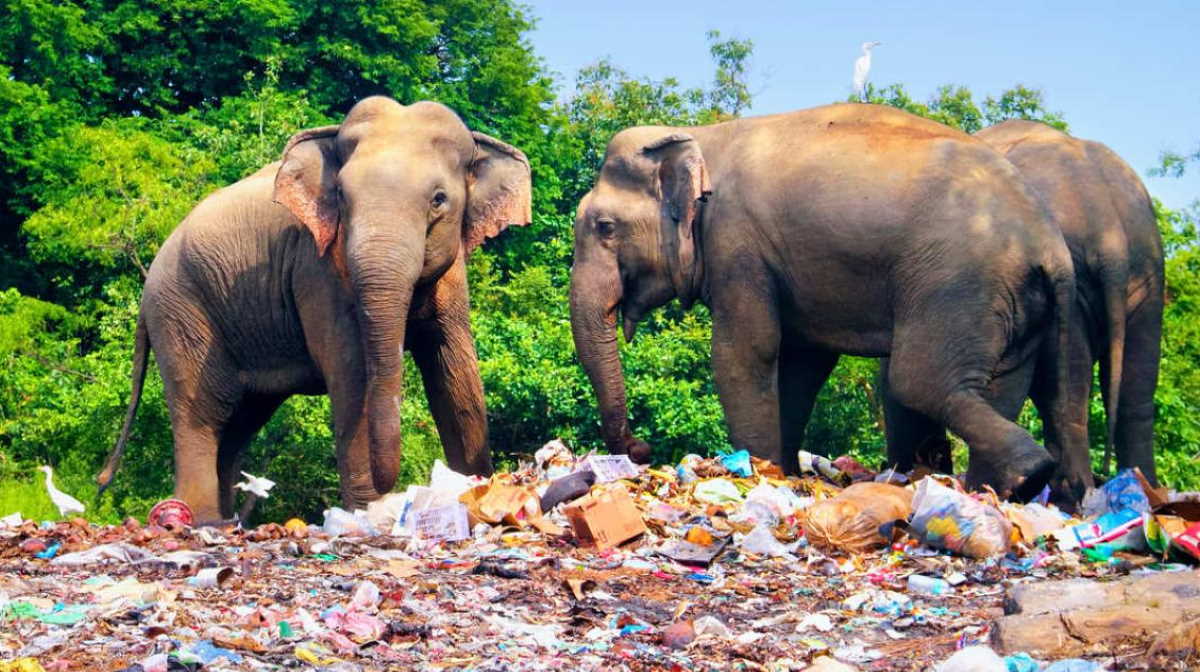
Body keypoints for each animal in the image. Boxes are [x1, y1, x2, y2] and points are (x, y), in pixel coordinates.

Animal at [96, 97, 532, 523]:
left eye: (439, 200)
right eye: (341, 197)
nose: (395, 491)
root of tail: (149, 278)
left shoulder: (452, 276)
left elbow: (455, 373)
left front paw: (472, 490)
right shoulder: (316, 268)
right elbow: (351, 375)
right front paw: (368, 515)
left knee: (240, 420)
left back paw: (222, 521)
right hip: (181, 311)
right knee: (203, 411)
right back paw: (200, 521)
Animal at [569, 103, 1078, 501]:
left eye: (605, 228)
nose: (639, 450)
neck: (700, 137)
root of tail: (1050, 245)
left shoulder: (737, 246)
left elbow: (746, 354)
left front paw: (759, 473)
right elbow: (801, 366)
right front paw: (786, 474)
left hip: (956, 283)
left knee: (918, 380)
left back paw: (1029, 473)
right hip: (1014, 302)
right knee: (1002, 388)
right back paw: (1002, 490)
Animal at [880, 120, 1164, 504]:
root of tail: (1108, 228)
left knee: (1065, 392)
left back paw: (1071, 494)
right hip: (1147, 278)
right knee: (1135, 393)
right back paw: (1142, 491)